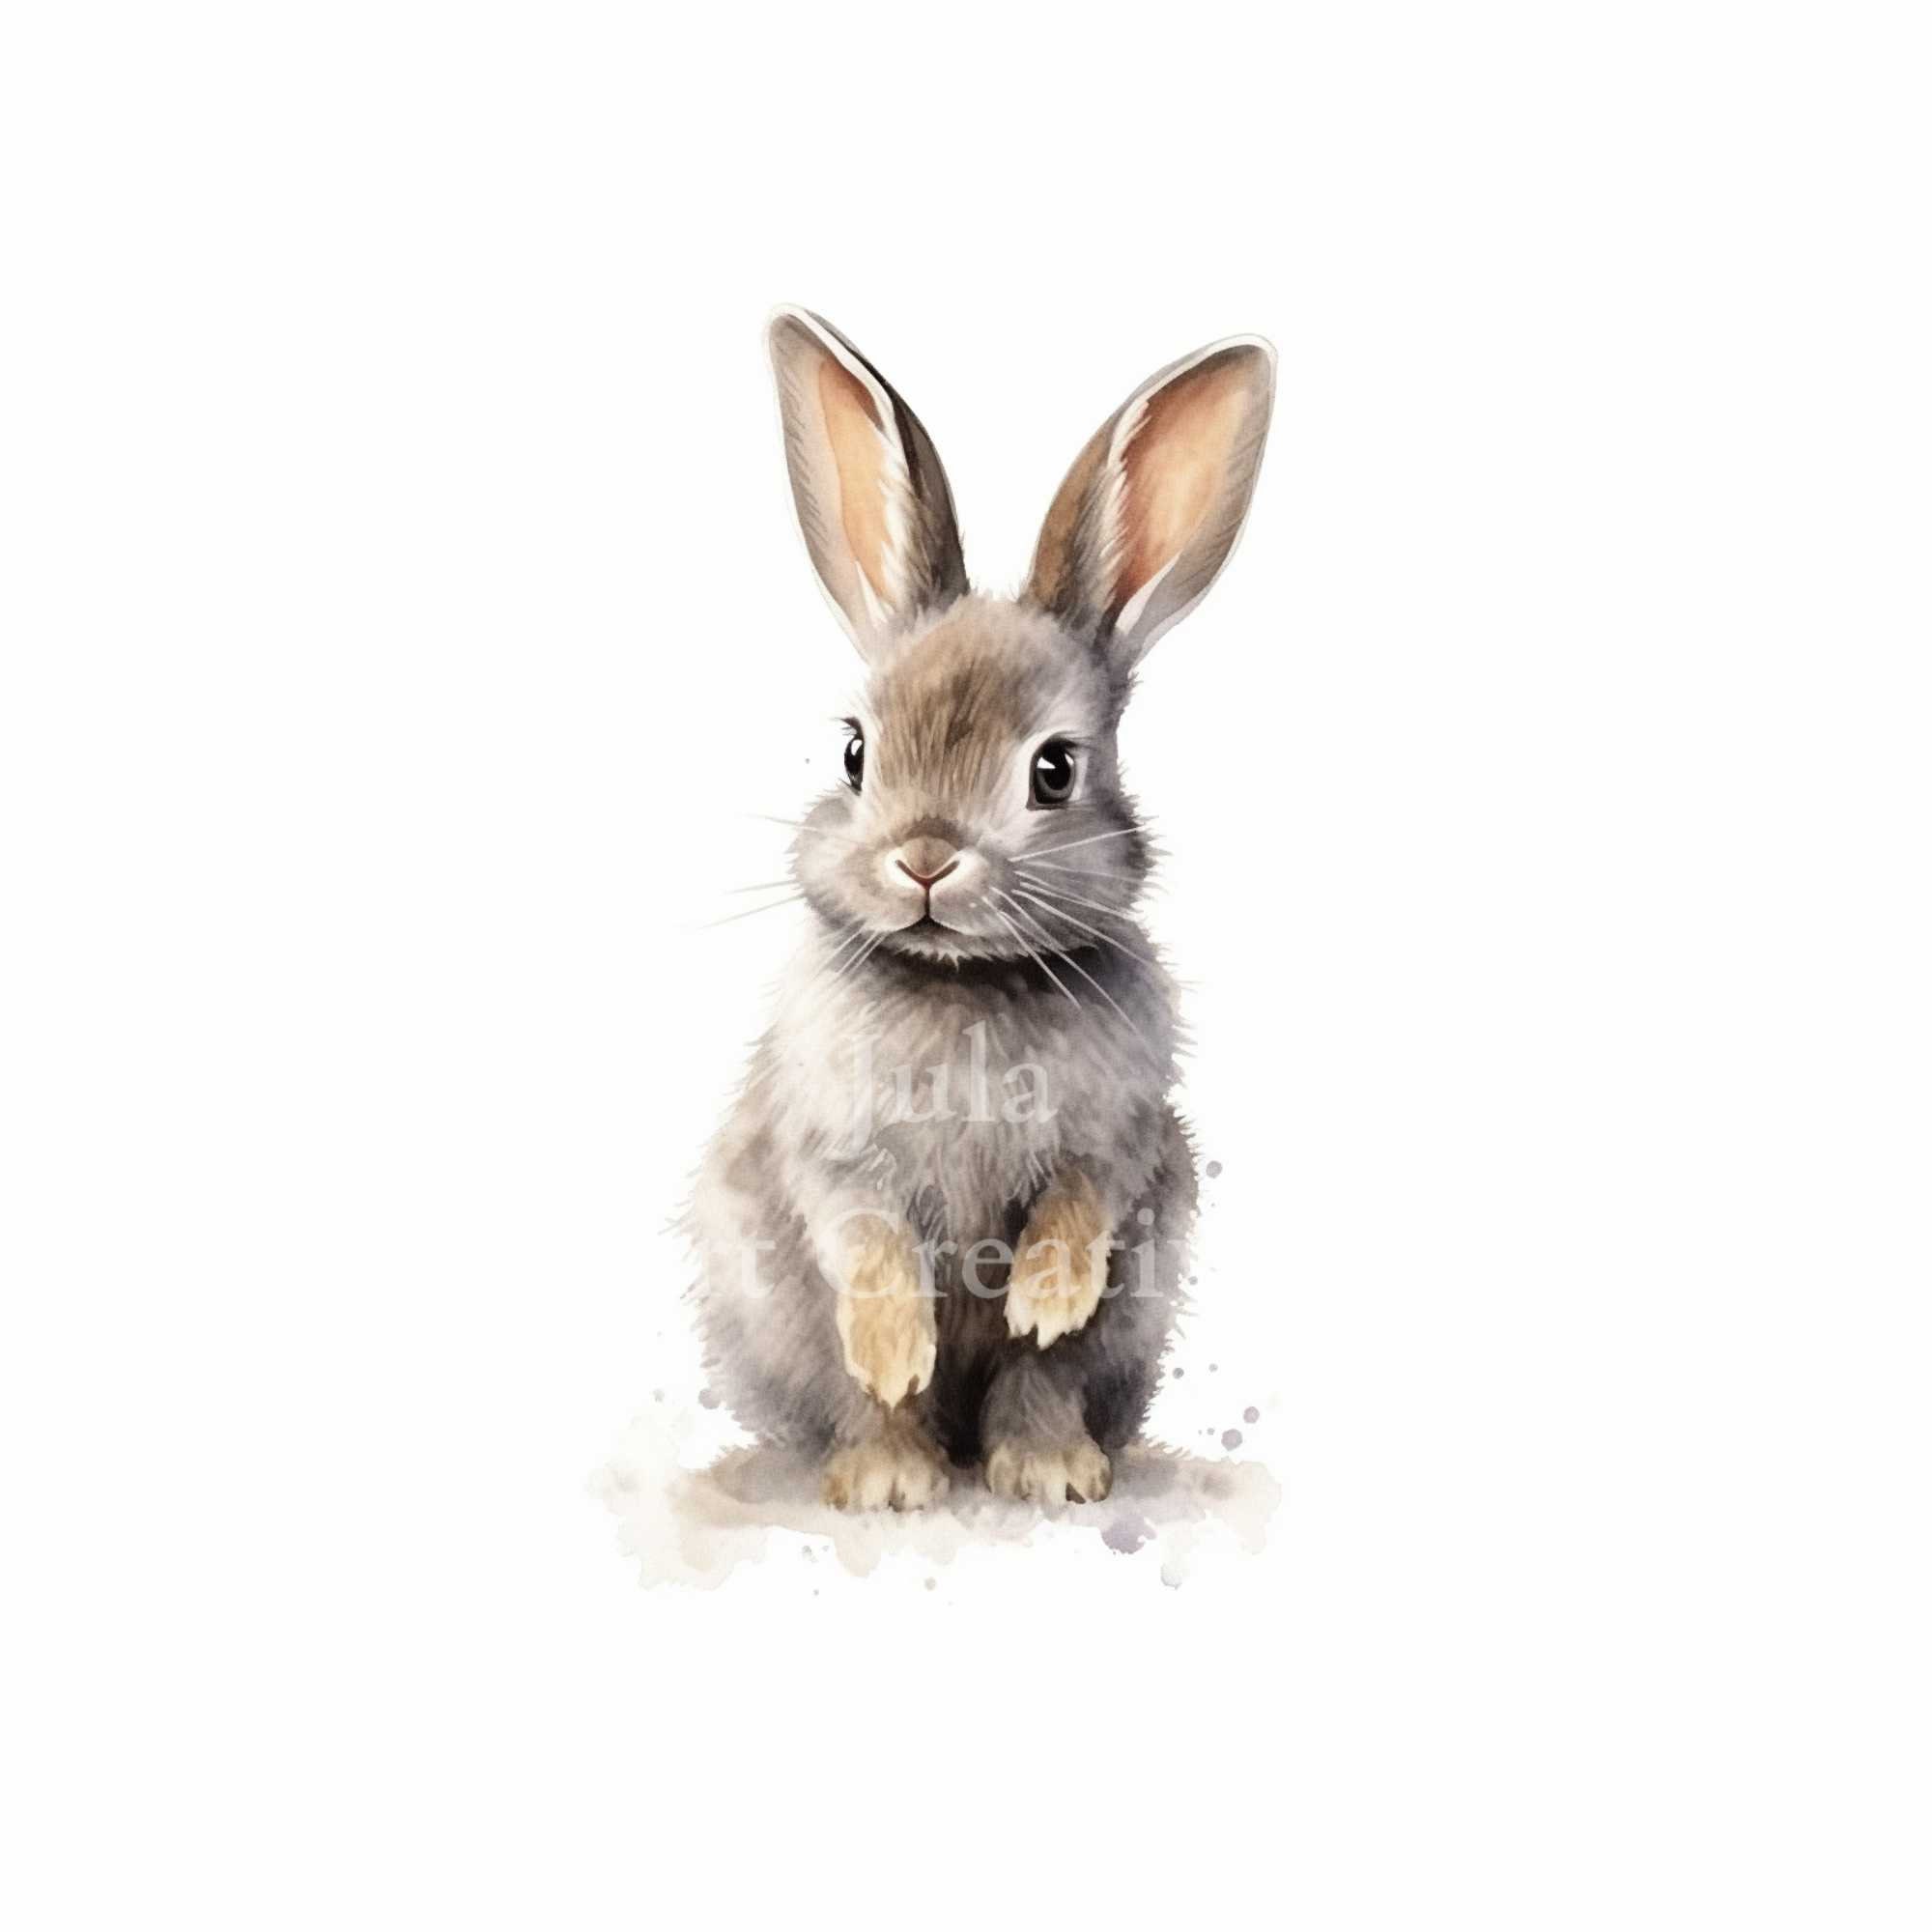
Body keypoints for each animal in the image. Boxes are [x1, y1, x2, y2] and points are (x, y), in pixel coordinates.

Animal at [688, 308, 1275, 1510]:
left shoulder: (1119, 1136)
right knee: (865, 1408)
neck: (961, 980)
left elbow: (1081, 1206)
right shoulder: (830, 1146)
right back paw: (889, 1477)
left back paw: (1045, 1469)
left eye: (1053, 769)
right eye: (854, 752)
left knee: (1040, 1384)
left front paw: (1041, 1295)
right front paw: (894, 1347)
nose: (923, 859)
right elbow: (864, 1237)